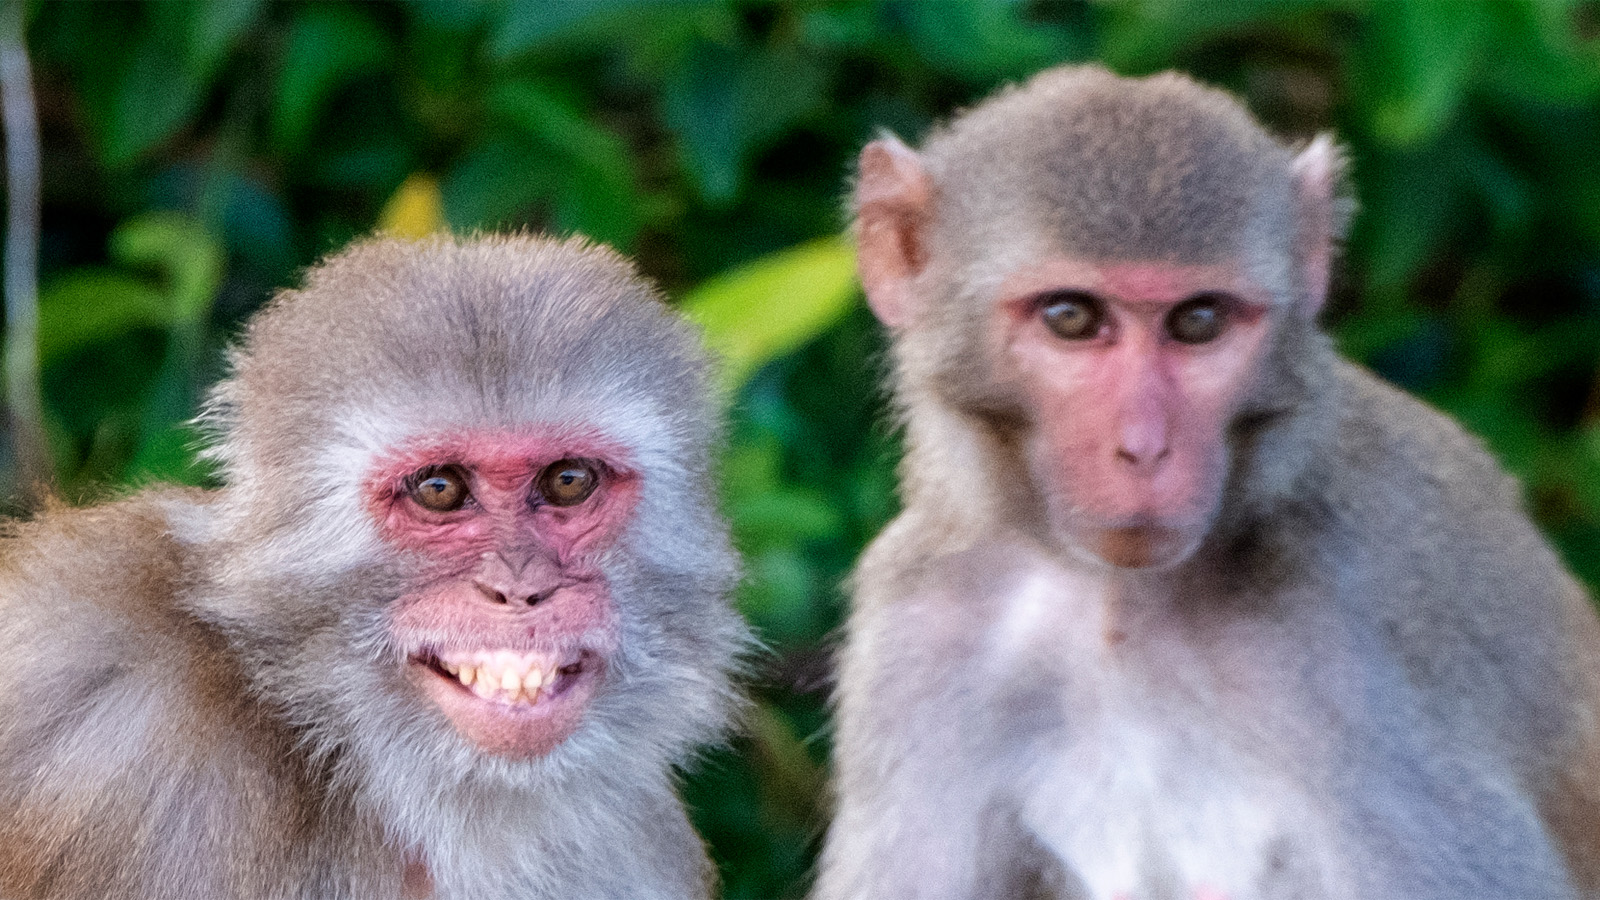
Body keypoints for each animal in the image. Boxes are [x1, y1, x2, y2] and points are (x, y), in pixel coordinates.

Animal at [816, 65, 1600, 900]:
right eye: (1071, 317)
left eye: (1198, 321)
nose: (1145, 449)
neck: (1116, 602)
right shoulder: (919, 633)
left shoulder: (1354, 636)